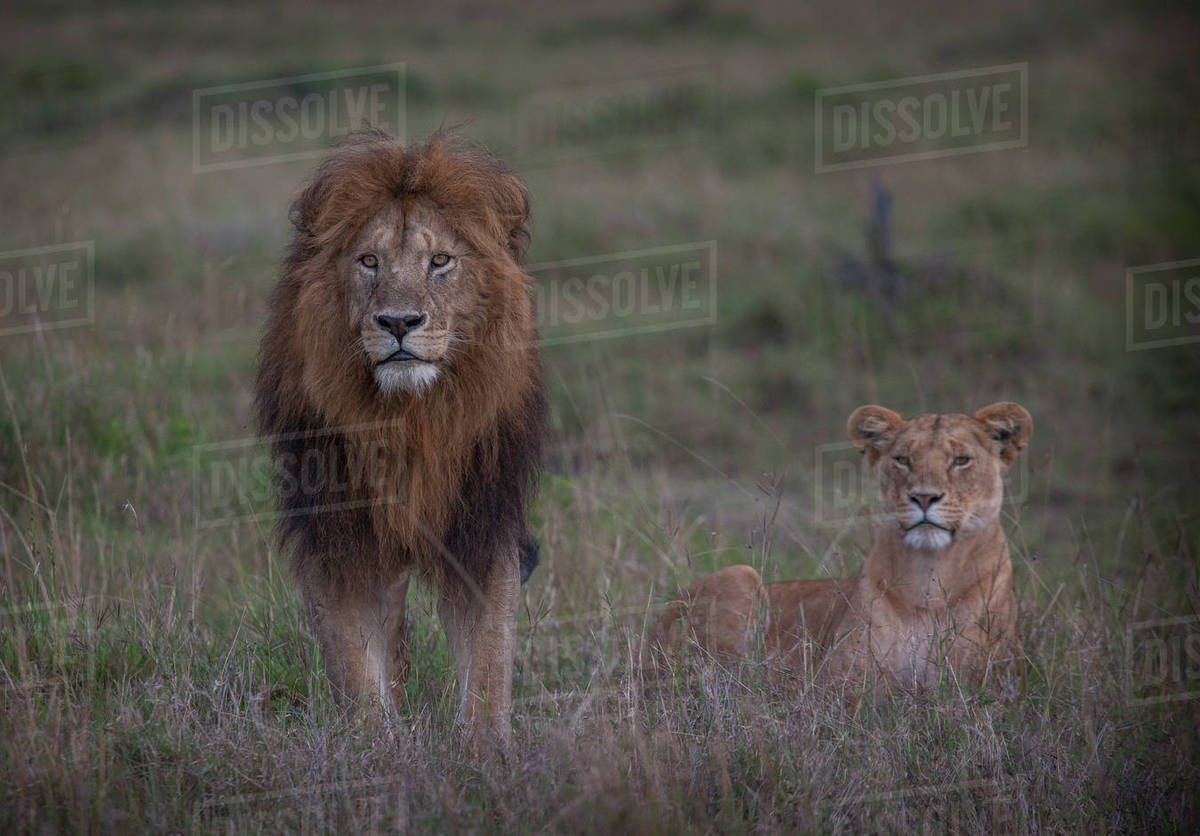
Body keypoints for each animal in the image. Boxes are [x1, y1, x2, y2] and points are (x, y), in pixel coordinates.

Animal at [254, 130, 546, 750]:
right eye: (369, 261)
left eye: (440, 261)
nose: (397, 323)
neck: (410, 419)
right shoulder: (338, 534)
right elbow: (355, 661)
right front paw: (373, 749)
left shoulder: (482, 523)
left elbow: (489, 655)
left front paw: (486, 750)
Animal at [646, 402, 1031, 697]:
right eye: (903, 459)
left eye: (961, 460)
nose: (923, 497)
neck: (930, 580)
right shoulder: (838, 684)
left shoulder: (984, 683)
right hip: (740, 576)